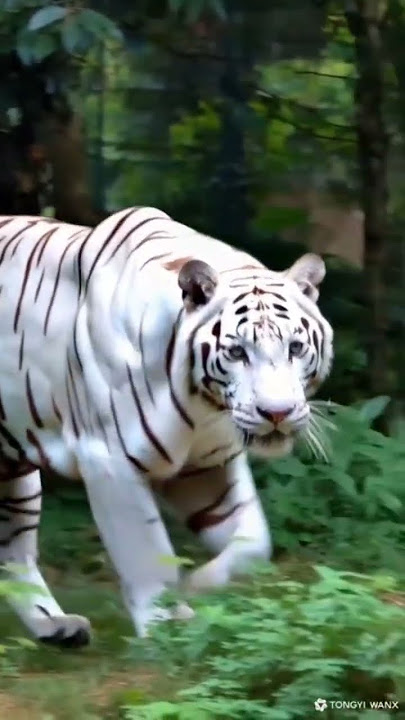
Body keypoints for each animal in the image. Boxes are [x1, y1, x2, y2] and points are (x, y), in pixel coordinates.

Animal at [0, 206, 333, 647]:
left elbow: (254, 544)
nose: (276, 412)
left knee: (12, 550)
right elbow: (145, 553)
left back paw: (54, 626)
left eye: (295, 347)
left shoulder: (208, 465)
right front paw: (167, 627)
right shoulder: (109, 460)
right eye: (237, 352)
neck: (205, 405)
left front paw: (199, 585)